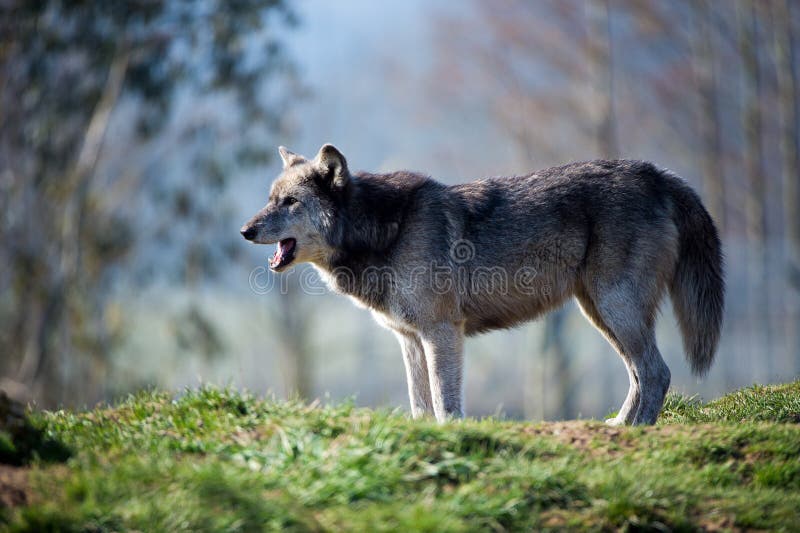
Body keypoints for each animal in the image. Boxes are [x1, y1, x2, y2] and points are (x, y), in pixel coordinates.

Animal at [240, 144, 724, 425]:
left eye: (290, 202)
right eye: (270, 199)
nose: (245, 230)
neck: (384, 231)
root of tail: (659, 174)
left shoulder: (441, 333)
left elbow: (445, 402)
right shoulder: (409, 340)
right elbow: (420, 405)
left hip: (615, 309)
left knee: (657, 372)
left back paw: (635, 430)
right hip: (600, 313)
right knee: (641, 374)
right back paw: (618, 426)